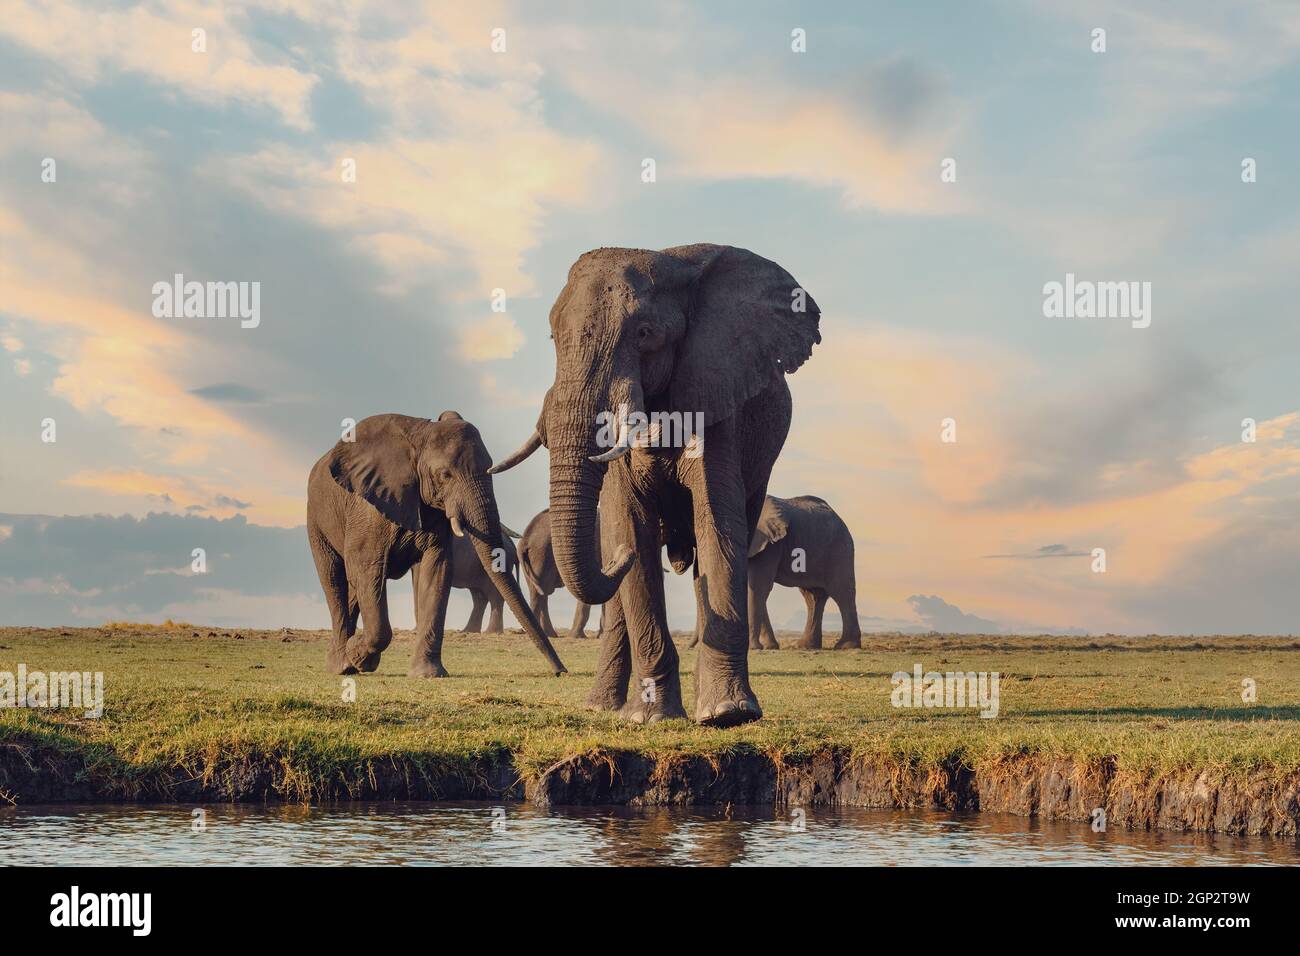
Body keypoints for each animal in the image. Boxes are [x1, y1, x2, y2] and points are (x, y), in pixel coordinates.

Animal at [305, 411, 566, 677]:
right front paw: (358, 655)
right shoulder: (368, 508)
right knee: (335, 580)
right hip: (316, 519)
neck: (420, 436)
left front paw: (427, 674)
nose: (560, 671)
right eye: (445, 475)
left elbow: (436, 569)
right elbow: (367, 567)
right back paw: (342, 665)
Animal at [491, 243, 820, 725]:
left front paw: (728, 713)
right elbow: (632, 531)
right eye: (553, 338)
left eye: (645, 333)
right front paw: (650, 717)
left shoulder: (715, 394)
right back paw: (604, 705)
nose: (617, 557)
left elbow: (718, 527)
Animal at [746, 495, 861, 651]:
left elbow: (758, 587)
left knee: (842, 593)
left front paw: (755, 648)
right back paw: (805, 646)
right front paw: (770, 646)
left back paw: (846, 646)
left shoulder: (770, 545)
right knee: (813, 597)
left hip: (840, 549)